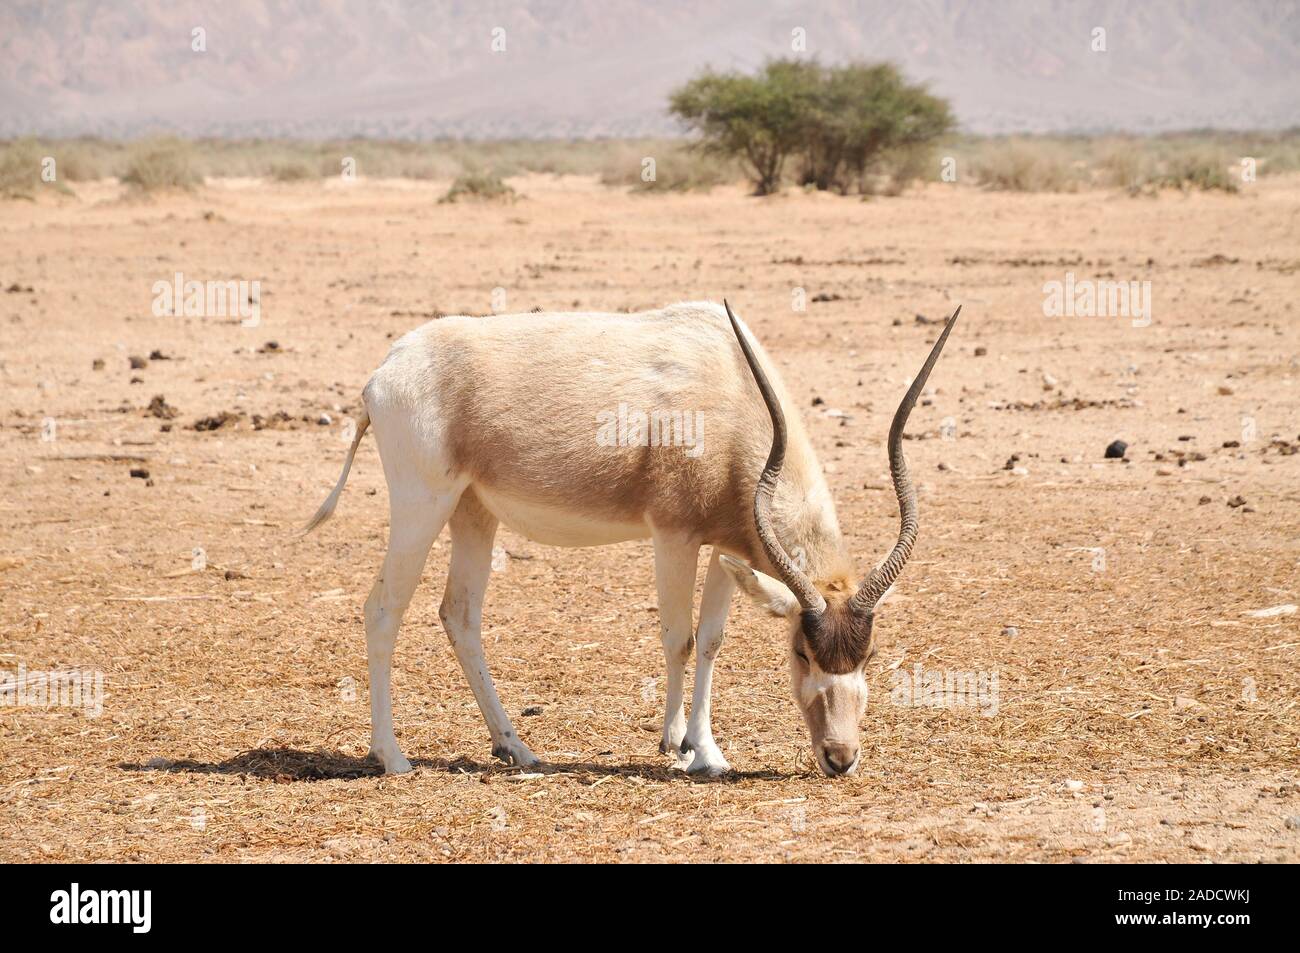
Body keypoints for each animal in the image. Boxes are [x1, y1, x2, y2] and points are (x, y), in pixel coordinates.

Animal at [306, 300, 958, 777]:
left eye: (868, 655)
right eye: (801, 651)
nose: (839, 758)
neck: (729, 384)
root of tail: (383, 374)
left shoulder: (727, 547)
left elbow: (713, 639)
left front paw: (709, 751)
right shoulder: (673, 536)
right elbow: (679, 638)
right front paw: (676, 745)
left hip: (473, 512)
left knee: (459, 614)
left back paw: (516, 748)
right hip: (423, 503)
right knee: (384, 609)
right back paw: (392, 756)